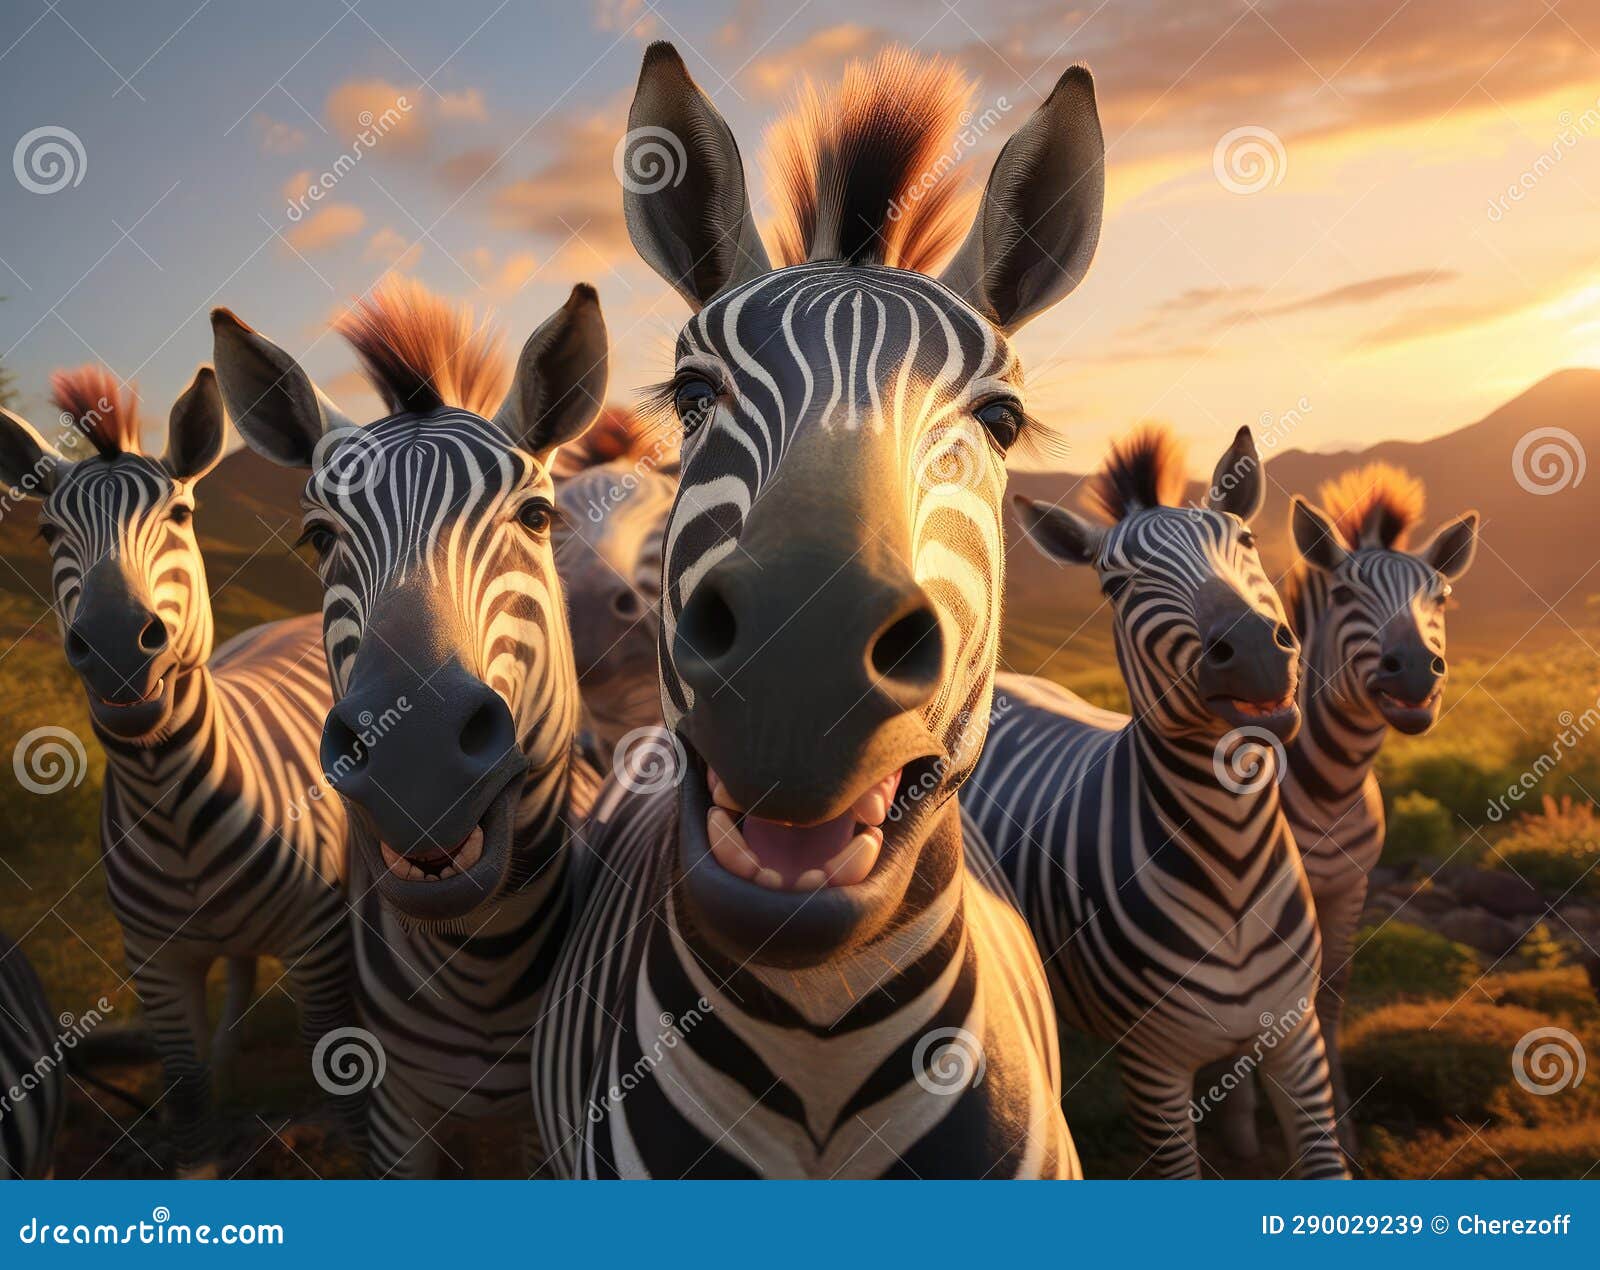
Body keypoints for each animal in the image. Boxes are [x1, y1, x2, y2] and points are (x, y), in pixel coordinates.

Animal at [966, 423, 1350, 1179]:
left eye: (1247, 540)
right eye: (1115, 584)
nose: (1256, 650)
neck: (1233, 860)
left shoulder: (1297, 1036)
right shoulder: (1153, 1068)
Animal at [1277, 466, 1477, 1150]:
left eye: (1441, 597)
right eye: (1342, 594)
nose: (1413, 671)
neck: (1331, 786)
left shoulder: (1352, 884)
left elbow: (1330, 994)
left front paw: (1341, 1125)